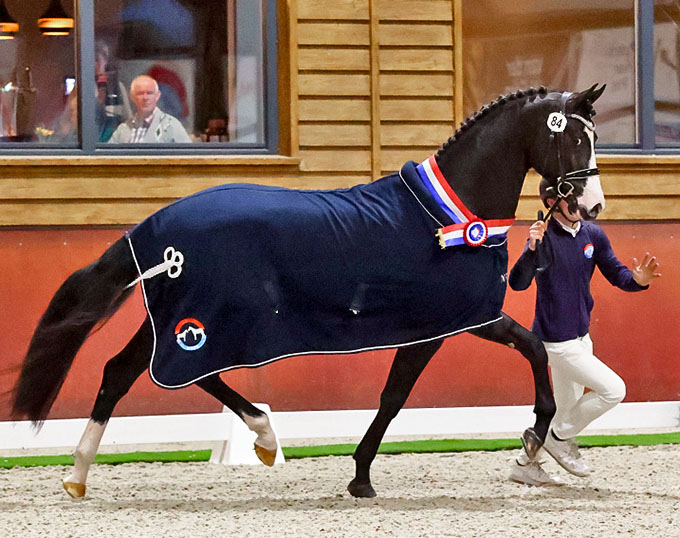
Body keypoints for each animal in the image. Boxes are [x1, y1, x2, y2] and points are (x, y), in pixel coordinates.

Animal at [11, 84, 606, 499]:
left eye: (593, 136)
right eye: (573, 137)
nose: (592, 205)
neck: (448, 214)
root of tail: (152, 226)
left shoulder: (449, 324)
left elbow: (509, 355)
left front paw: (536, 448)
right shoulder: (450, 323)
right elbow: (410, 392)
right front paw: (533, 441)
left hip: (178, 318)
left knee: (121, 370)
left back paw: (80, 475)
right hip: (202, 322)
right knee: (178, 373)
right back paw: (262, 437)